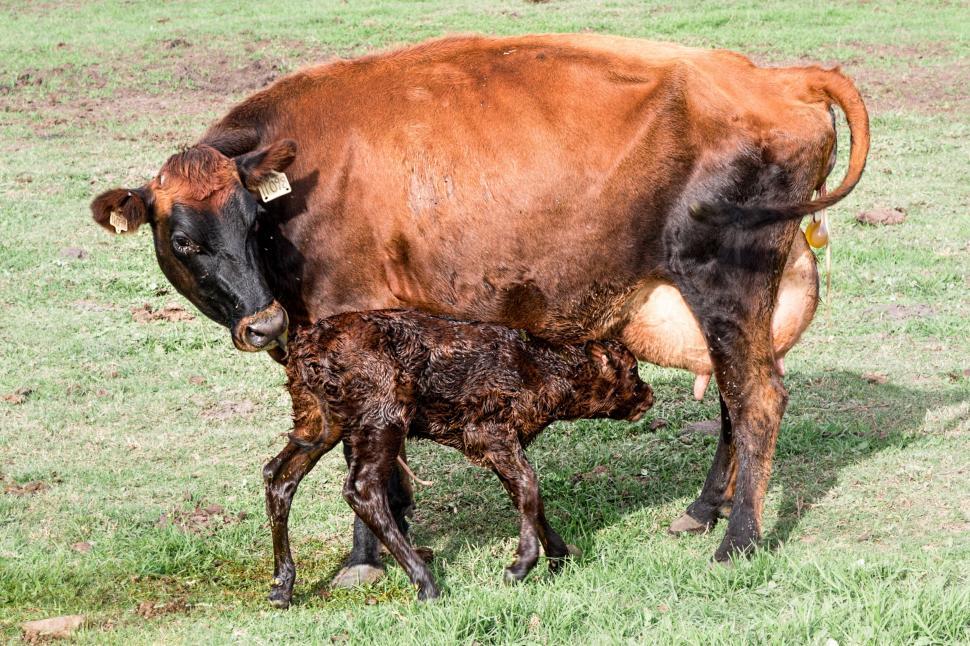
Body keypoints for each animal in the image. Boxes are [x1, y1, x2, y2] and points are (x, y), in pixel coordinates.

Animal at [271, 310, 654, 604]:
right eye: (633, 370)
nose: (649, 395)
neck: (543, 374)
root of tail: (306, 347)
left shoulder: (502, 443)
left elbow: (526, 495)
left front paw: (558, 556)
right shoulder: (490, 430)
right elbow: (530, 487)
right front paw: (520, 566)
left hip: (317, 420)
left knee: (278, 475)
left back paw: (281, 587)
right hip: (382, 414)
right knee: (361, 488)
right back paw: (426, 584)